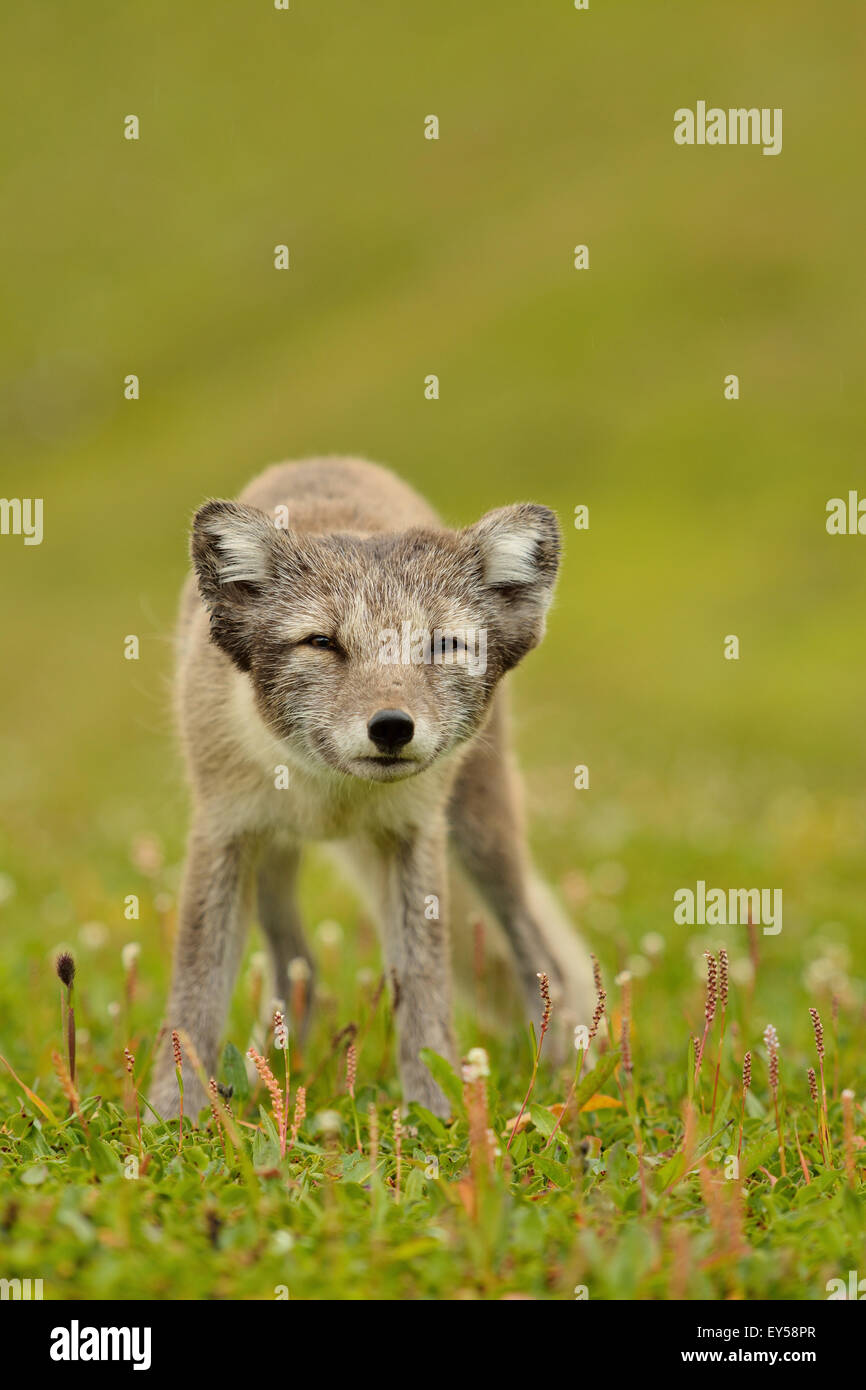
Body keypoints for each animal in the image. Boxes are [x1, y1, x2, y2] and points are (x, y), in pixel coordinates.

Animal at [151, 457, 595, 1119]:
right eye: (322, 643)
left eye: (444, 644)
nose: (391, 727)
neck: (332, 794)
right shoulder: (222, 830)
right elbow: (194, 993)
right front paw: (169, 1112)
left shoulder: (415, 837)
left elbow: (425, 988)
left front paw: (435, 1110)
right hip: (273, 856)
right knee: (300, 969)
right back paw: (271, 1074)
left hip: (480, 836)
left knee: (540, 958)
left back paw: (563, 1074)